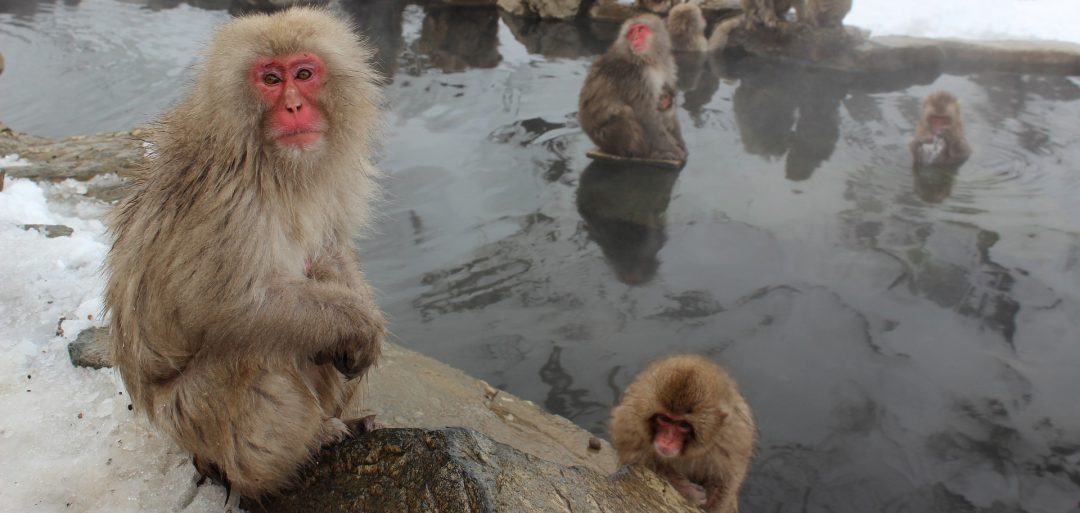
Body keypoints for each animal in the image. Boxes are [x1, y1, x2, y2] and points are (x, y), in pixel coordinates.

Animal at [104, 7, 386, 500]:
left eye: (304, 74)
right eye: (270, 79)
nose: (293, 107)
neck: (270, 162)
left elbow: (329, 251)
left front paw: (361, 320)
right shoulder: (229, 200)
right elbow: (229, 305)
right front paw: (360, 324)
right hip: (193, 417)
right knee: (254, 352)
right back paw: (290, 455)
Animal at [579, 14, 687, 162]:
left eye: (640, 30)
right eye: (631, 33)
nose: (635, 38)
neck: (648, 61)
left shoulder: (667, 65)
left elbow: (667, 107)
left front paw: (680, 142)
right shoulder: (634, 77)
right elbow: (647, 115)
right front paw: (672, 150)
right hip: (607, 138)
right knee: (625, 112)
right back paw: (645, 154)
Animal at [610, 354, 756, 513]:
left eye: (683, 425)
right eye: (664, 419)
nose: (667, 440)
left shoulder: (733, 437)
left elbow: (725, 481)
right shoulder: (630, 427)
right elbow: (637, 464)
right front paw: (687, 490)